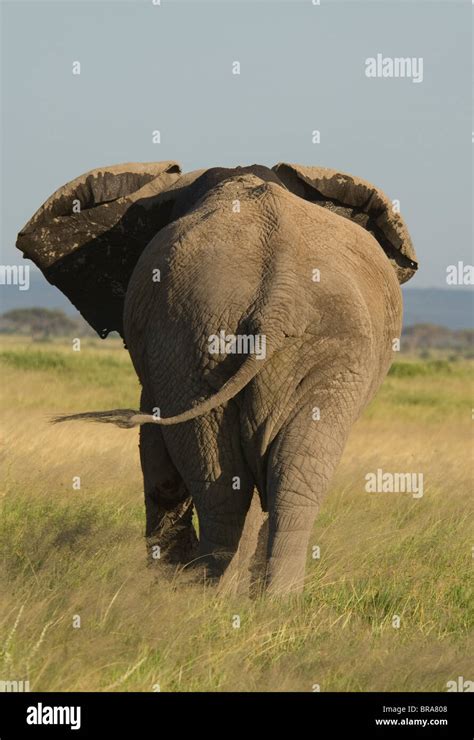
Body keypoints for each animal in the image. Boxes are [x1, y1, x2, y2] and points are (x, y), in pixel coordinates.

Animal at [16, 161, 418, 595]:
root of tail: (276, 302)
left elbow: (157, 454)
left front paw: (168, 577)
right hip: (240, 346)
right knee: (278, 476)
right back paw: (260, 598)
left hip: (218, 346)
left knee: (232, 479)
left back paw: (209, 592)